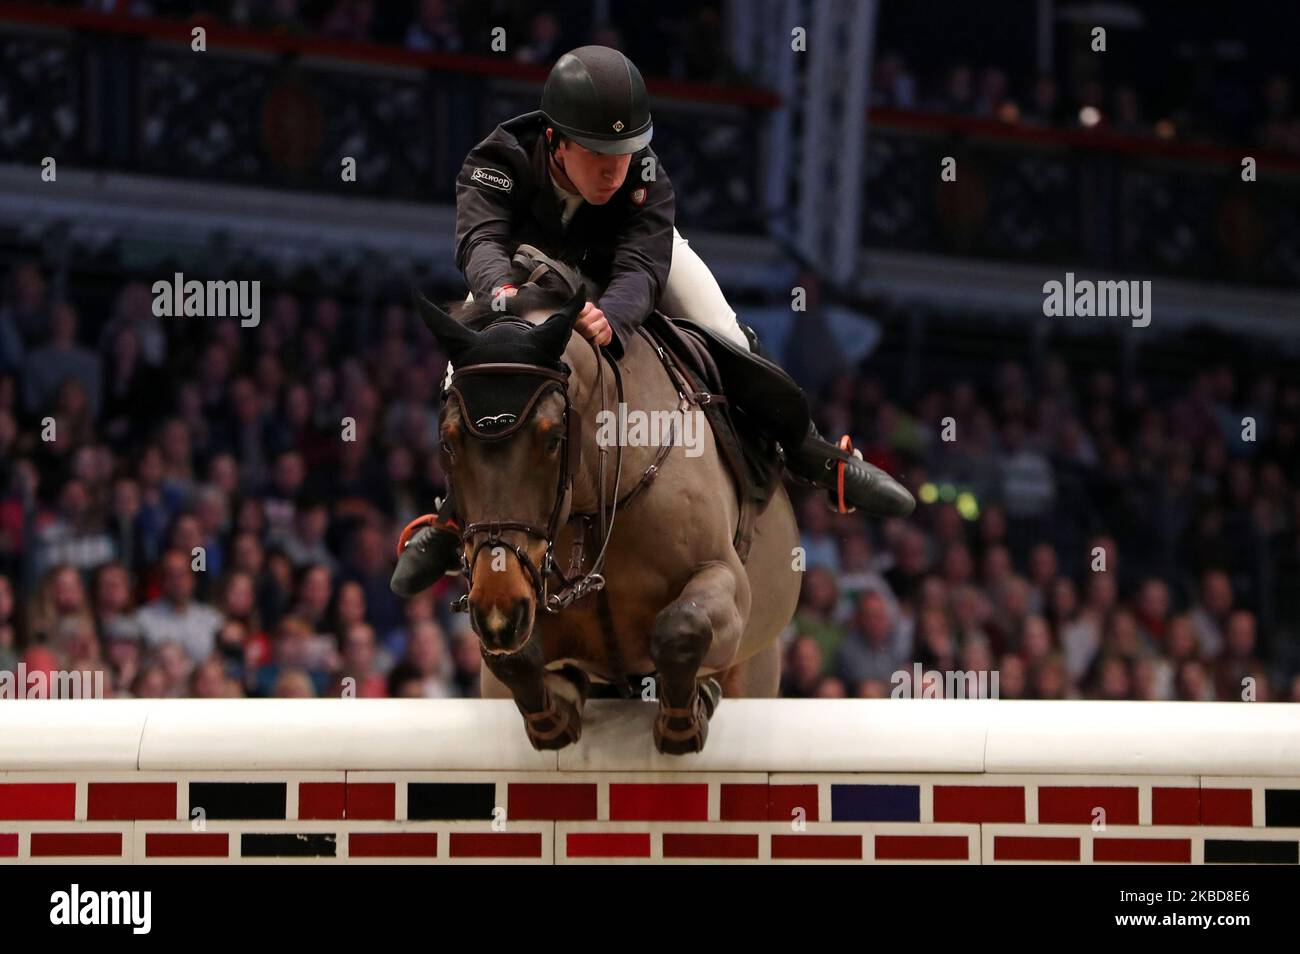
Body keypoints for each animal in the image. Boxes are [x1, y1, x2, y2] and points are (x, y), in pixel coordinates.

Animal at [414, 265, 801, 755]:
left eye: (553, 439)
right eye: (447, 444)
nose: (499, 614)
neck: (589, 499)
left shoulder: (724, 577)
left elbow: (682, 626)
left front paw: (684, 720)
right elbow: (514, 660)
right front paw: (555, 716)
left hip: (757, 664)